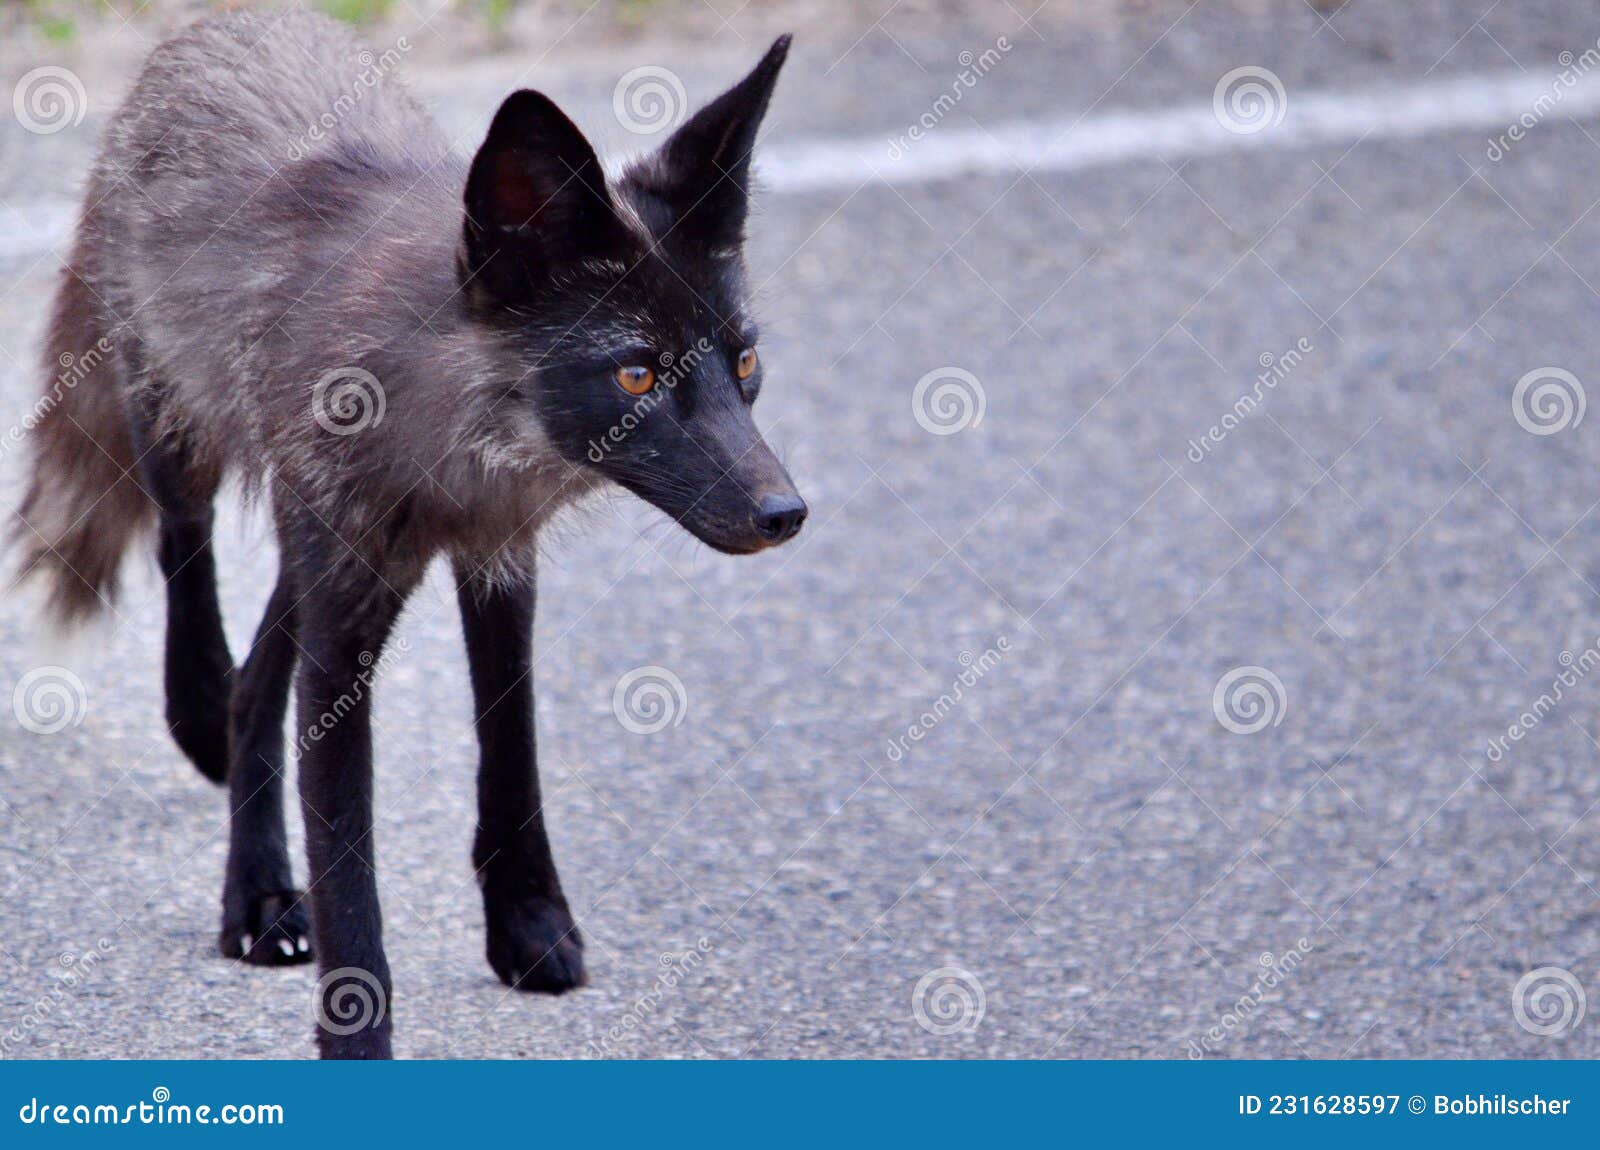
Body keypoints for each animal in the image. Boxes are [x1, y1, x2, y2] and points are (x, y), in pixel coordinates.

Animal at [13, 10, 805, 1059]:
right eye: (636, 374)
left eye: (744, 361)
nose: (785, 514)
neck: (453, 456)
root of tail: (221, 25)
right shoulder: (347, 632)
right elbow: (351, 872)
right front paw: (358, 1040)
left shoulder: (496, 563)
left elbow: (511, 753)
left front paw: (528, 923)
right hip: (186, 443)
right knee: (188, 561)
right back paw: (213, 761)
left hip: (330, 551)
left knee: (261, 675)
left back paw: (256, 888)